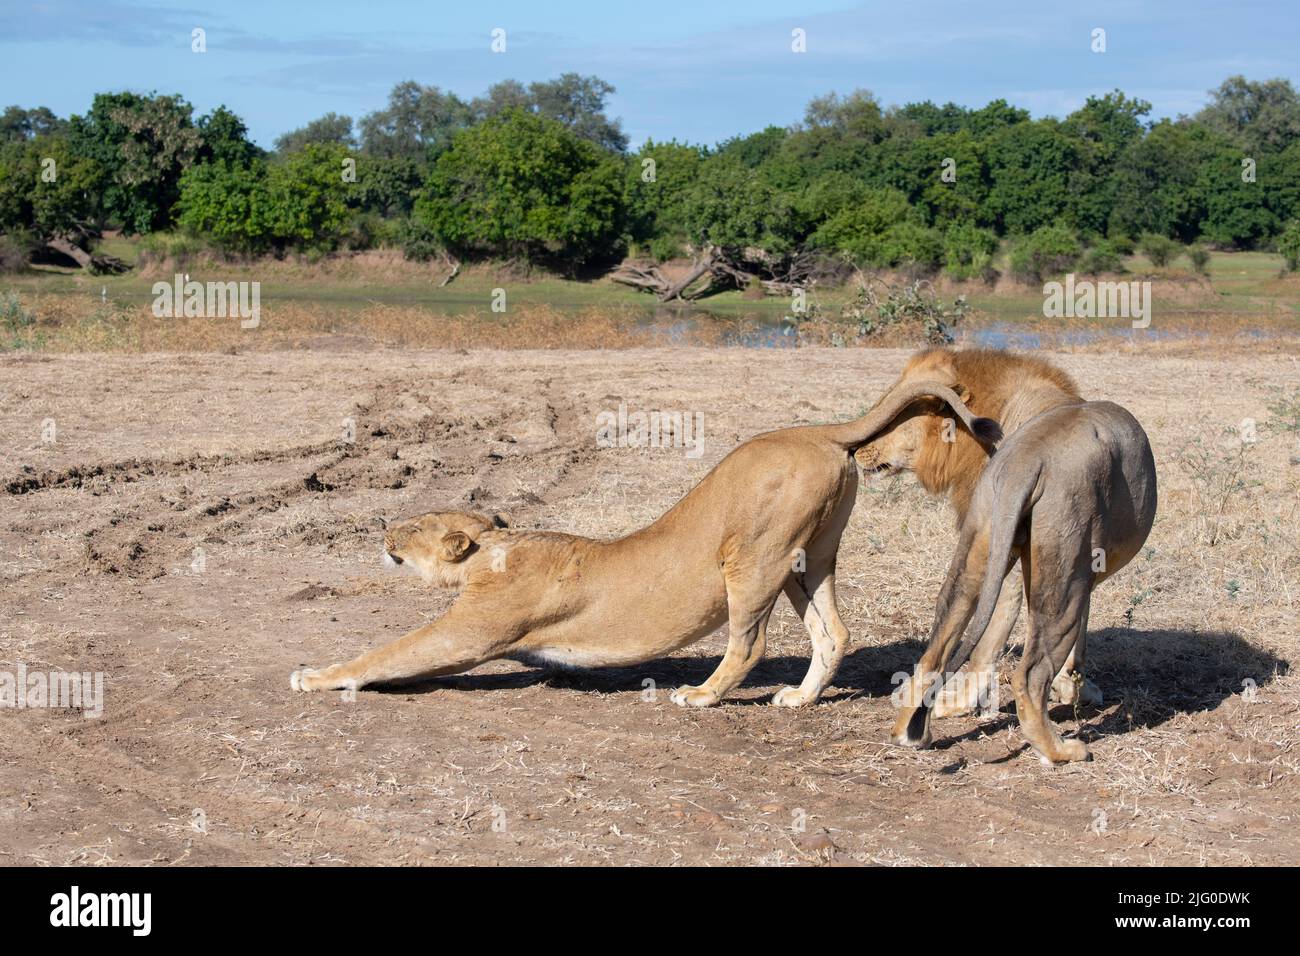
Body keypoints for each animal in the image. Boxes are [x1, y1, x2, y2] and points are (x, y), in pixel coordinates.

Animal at [290, 382, 1000, 707]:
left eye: (412, 528)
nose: (384, 529)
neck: (497, 545)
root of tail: (820, 430)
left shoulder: (473, 628)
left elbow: (390, 653)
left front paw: (314, 675)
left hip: (754, 556)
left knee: (751, 643)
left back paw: (702, 696)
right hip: (810, 556)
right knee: (834, 634)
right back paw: (798, 699)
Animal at [856, 348, 1157, 764]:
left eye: (894, 417)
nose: (856, 451)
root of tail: (1027, 459)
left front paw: (1076, 686)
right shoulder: (1053, 567)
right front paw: (1073, 688)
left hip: (979, 548)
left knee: (938, 644)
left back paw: (911, 726)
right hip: (1062, 572)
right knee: (1027, 673)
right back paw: (1059, 750)